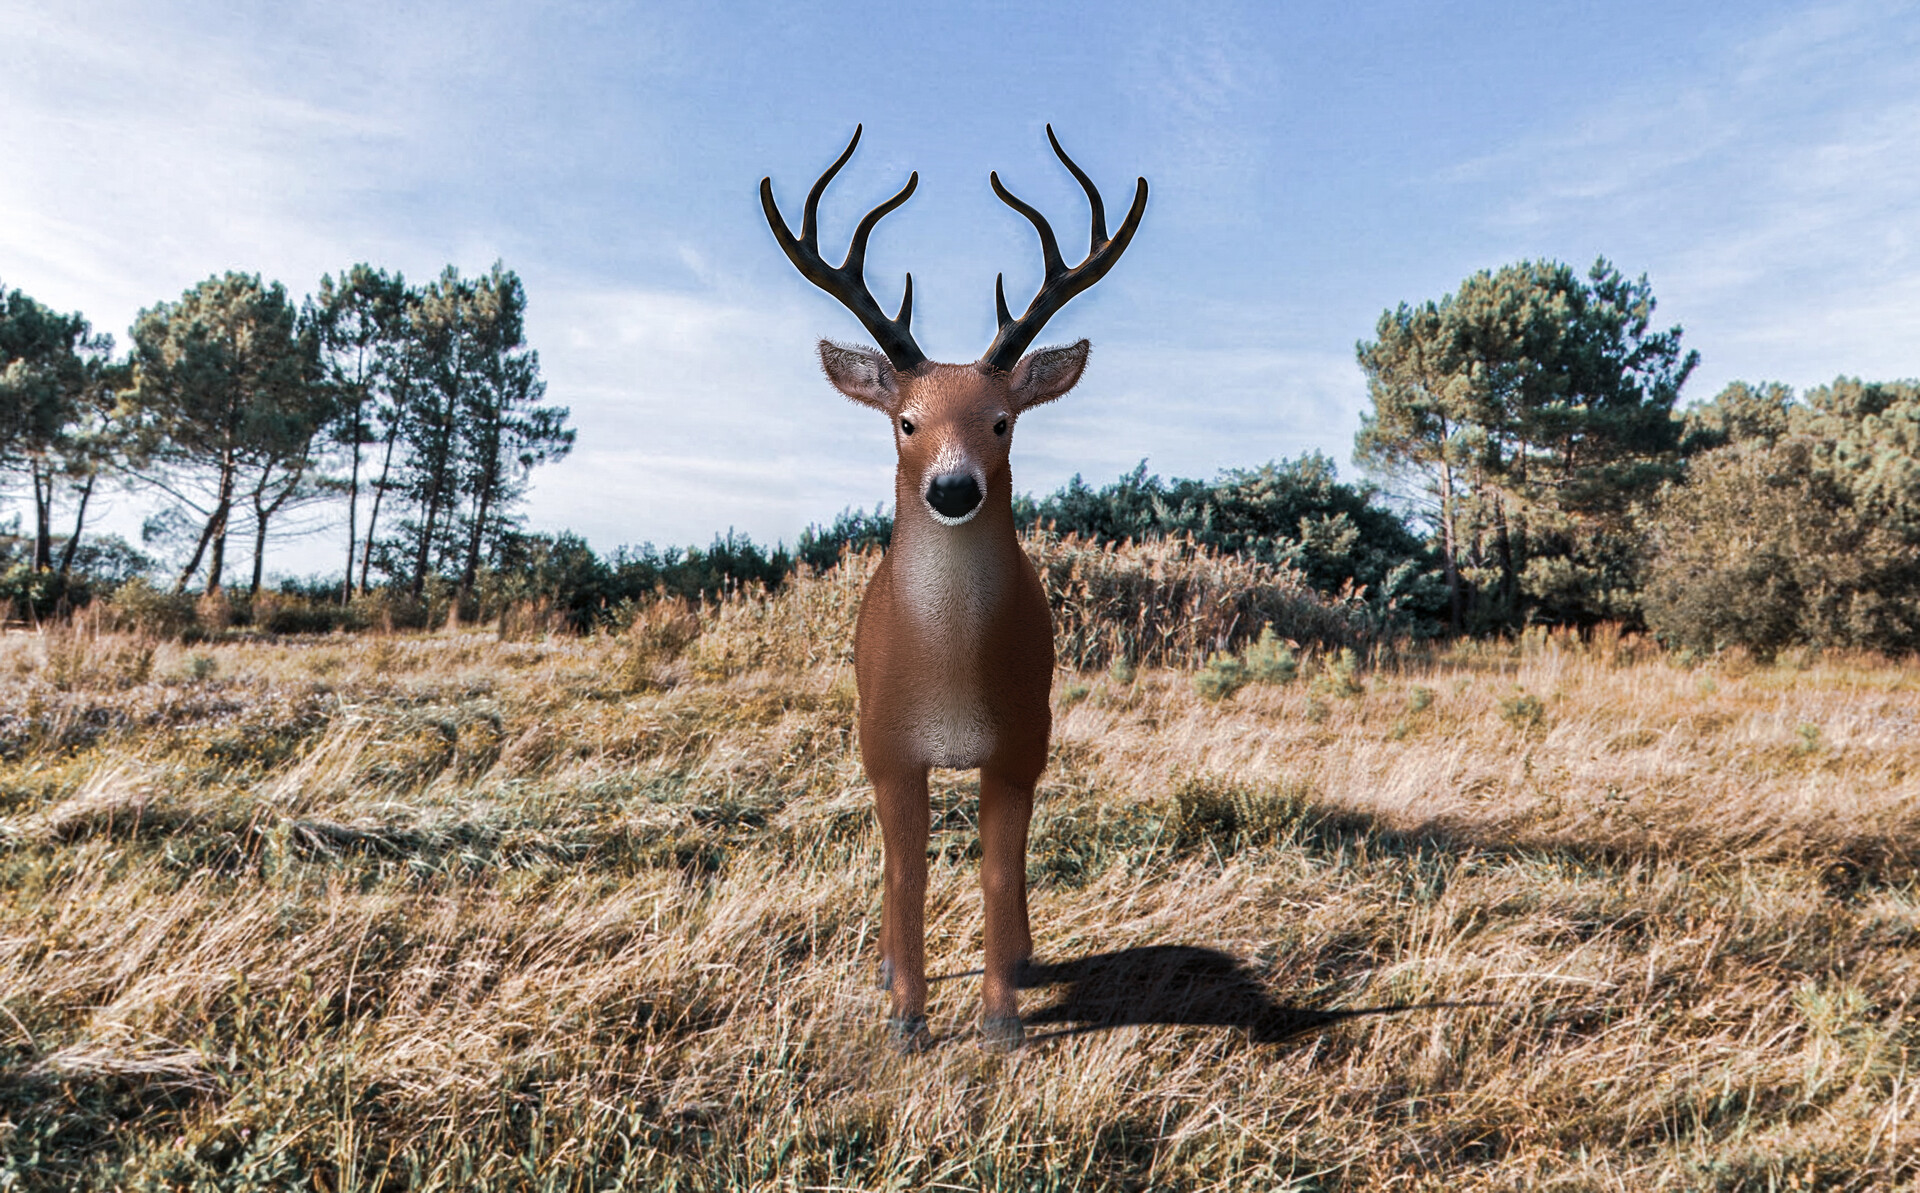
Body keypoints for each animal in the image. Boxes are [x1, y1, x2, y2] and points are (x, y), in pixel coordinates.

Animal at [761, 125, 1147, 1051]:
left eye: (1001, 422)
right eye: (907, 422)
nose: (953, 487)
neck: (952, 680)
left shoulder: (1021, 743)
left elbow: (999, 869)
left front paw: (1002, 1016)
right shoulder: (887, 746)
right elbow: (907, 872)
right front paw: (907, 1015)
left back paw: (1027, 960)